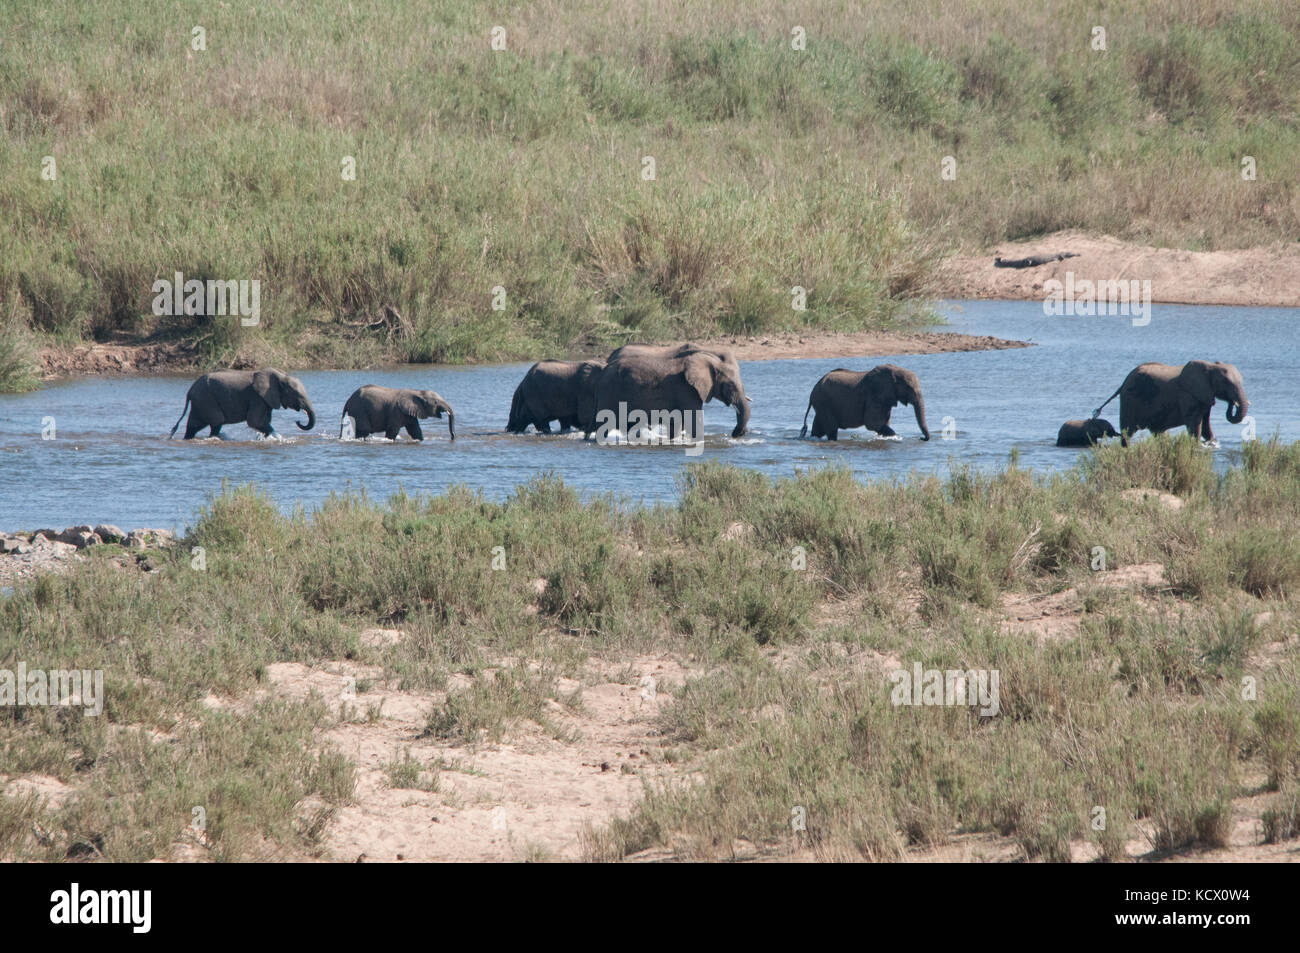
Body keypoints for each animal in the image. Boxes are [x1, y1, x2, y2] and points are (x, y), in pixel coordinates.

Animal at [169, 368, 316, 439]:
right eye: (296, 394)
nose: (298, 421)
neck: (280, 376)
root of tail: (190, 390)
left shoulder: (265, 400)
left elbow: (263, 421)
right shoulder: (257, 398)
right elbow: (254, 422)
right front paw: (276, 437)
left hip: (200, 402)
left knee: (193, 426)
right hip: (206, 400)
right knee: (216, 422)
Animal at [800, 365, 930, 441]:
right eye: (909, 388)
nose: (921, 438)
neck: (895, 371)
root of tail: (812, 392)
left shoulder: (886, 399)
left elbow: (883, 422)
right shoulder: (875, 395)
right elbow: (873, 423)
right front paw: (895, 437)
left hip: (822, 405)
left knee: (818, 429)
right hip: (824, 403)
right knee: (831, 430)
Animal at [1093, 360, 1247, 445]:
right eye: (1226, 383)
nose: (1233, 403)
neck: (1210, 366)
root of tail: (1123, 383)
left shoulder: (1204, 396)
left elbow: (1205, 426)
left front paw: (1212, 443)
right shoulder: (1188, 396)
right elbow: (1194, 425)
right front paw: (1196, 445)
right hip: (1129, 401)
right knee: (1127, 432)